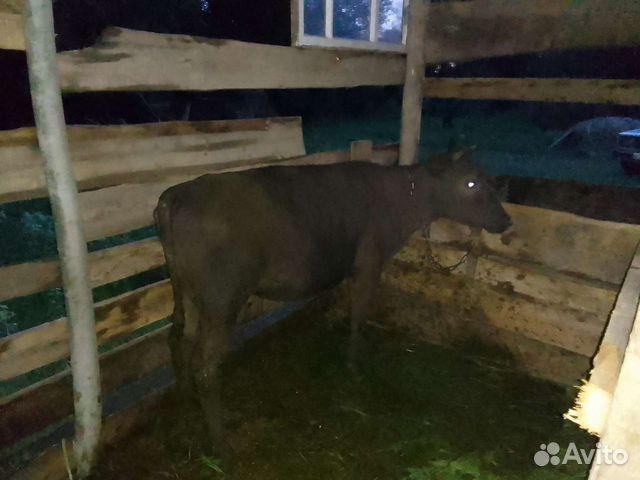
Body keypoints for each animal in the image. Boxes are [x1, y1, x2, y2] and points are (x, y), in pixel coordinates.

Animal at [153, 149, 512, 455]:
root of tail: (177, 195)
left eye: (487, 178)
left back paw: (185, 403)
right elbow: (359, 315)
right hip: (222, 297)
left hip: (187, 292)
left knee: (179, 340)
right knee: (206, 364)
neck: (400, 198)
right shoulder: (369, 263)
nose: (507, 221)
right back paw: (221, 445)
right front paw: (354, 365)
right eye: (471, 182)